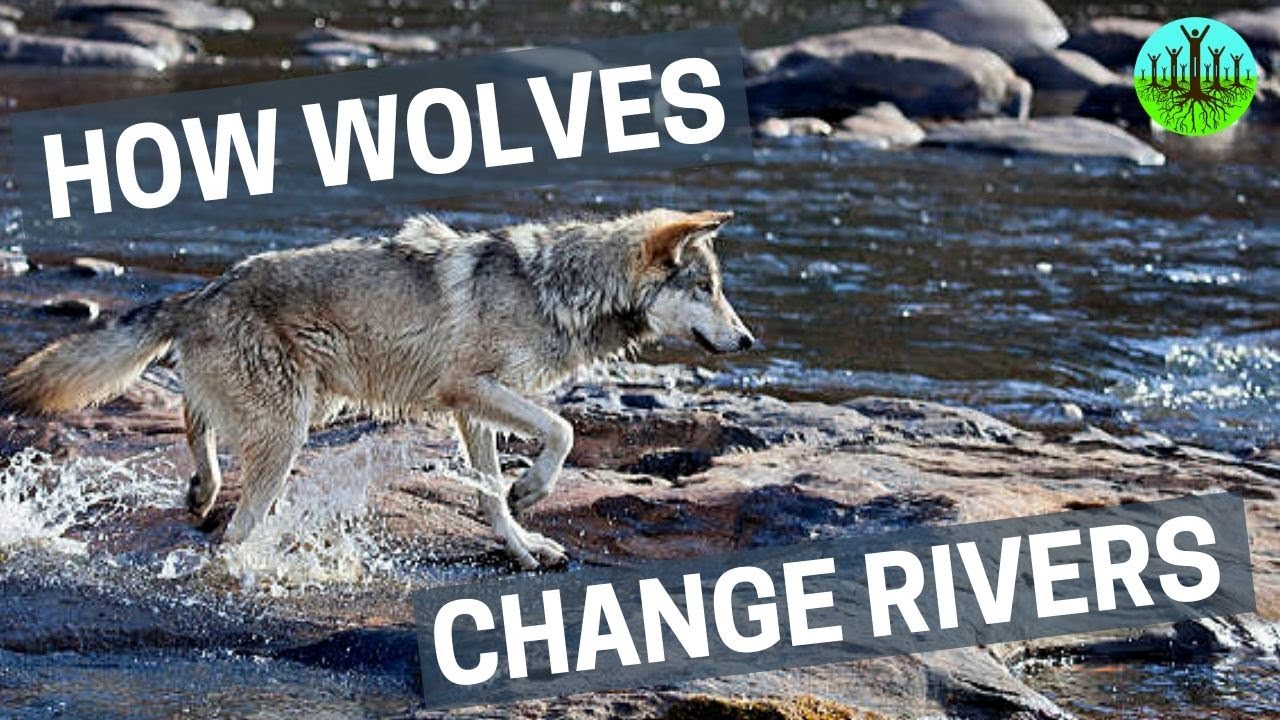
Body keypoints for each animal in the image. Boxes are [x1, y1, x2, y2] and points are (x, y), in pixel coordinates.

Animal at [3, 209, 754, 568]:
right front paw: (532, 492)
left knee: (196, 419)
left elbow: (491, 498)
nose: (747, 341)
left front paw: (521, 544)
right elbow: (563, 432)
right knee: (236, 525)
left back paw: (201, 491)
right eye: (707, 288)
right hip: (290, 429)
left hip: (307, 407)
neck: (560, 289)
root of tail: (201, 293)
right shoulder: (469, 388)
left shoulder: (471, 411)